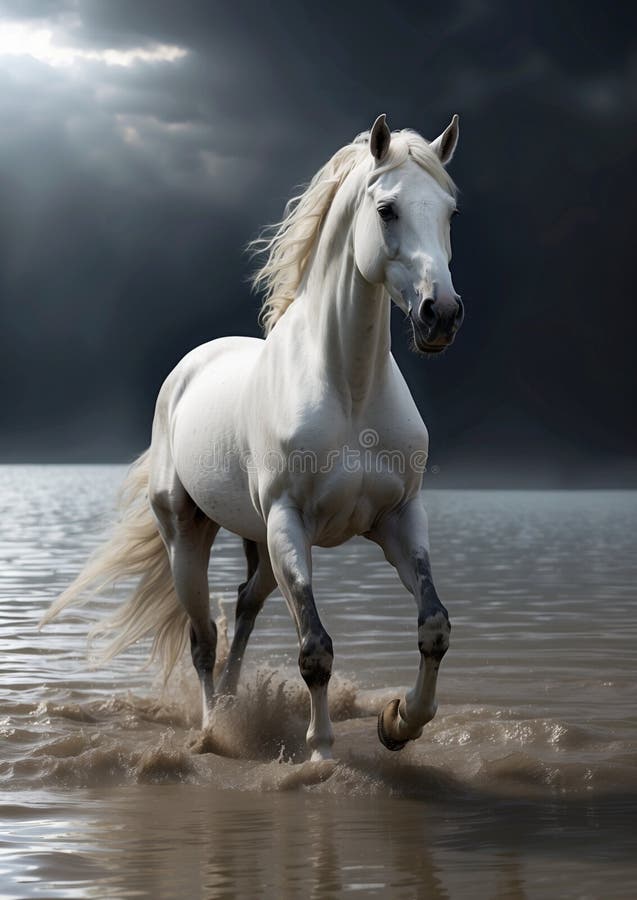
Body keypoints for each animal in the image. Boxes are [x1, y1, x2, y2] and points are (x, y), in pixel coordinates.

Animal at [41, 113, 464, 761]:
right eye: (387, 209)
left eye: (449, 212)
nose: (439, 314)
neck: (349, 388)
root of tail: (185, 371)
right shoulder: (291, 521)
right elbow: (315, 649)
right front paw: (320, 753)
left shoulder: (398, 519)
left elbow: (433, 626)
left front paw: (399, 722)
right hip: (190, 536)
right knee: (204, 636)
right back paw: (216, 728)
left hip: (260, 543)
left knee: (242, 604)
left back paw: (236, 701)